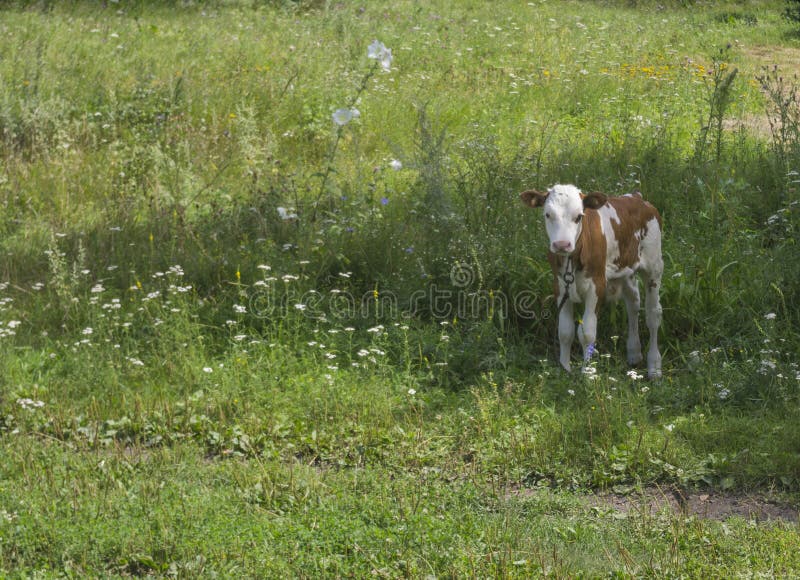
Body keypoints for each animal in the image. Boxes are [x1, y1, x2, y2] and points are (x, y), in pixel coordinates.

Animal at [520, 184, 663, 379]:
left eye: (579, 216)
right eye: (547, 214)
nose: (562, 244)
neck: (572, 259)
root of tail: (636, 197)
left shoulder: (597, 285)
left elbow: (587, 332)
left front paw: (587, 372)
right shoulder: (560, 286)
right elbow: (565, 331)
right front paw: (565, 369)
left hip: (654, 266)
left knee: (653, 315)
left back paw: (654, 367)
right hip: (626, 271)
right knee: (633, 304)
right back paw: (634, 353)